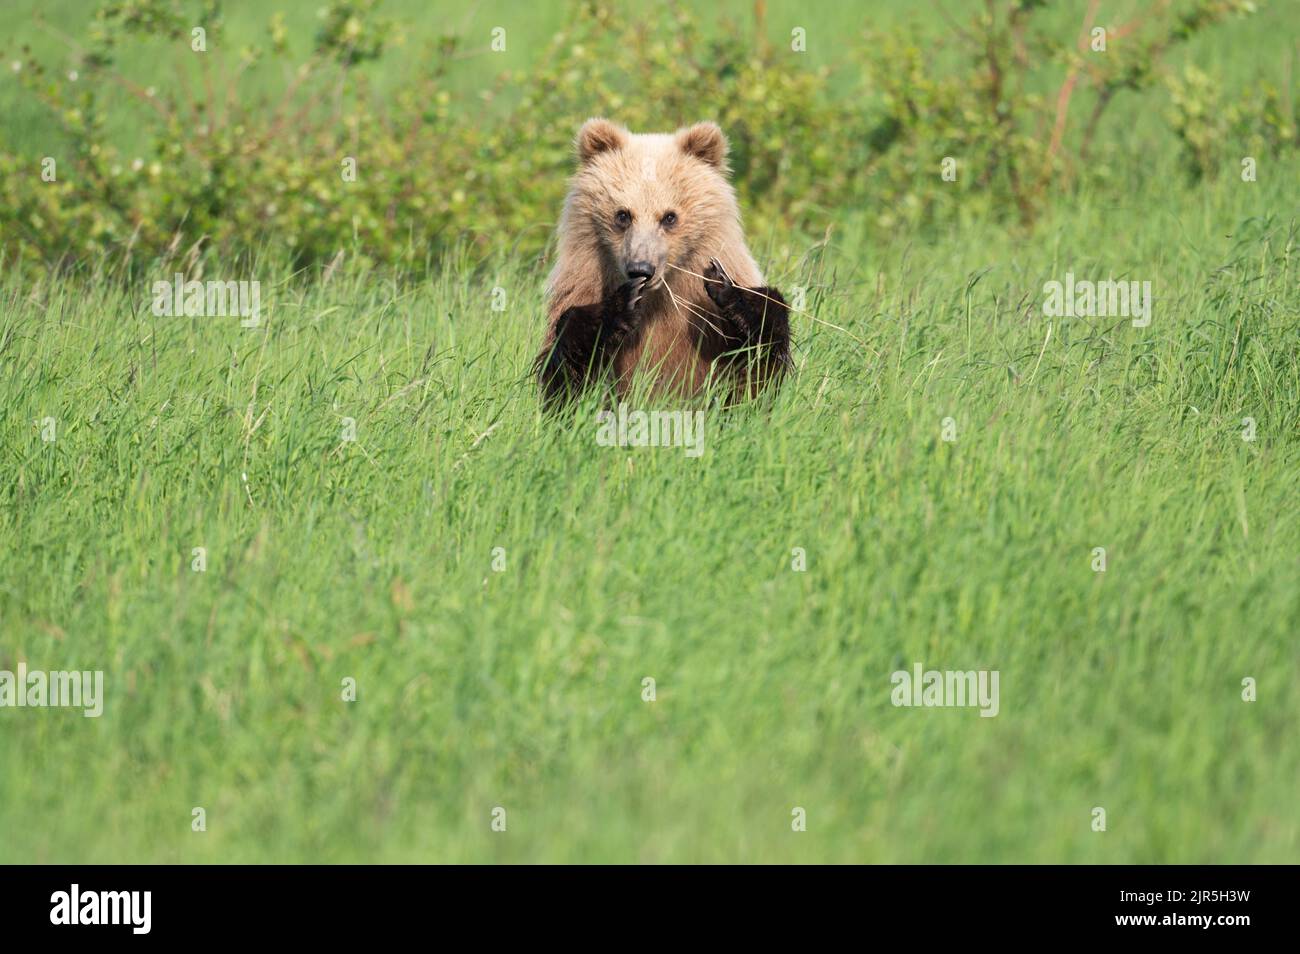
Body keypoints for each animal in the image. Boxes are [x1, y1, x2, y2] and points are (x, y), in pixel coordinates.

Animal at [535, 118, 791, 406]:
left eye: (669, 217)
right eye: (623, 215)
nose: (641, 269)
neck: (659, 300)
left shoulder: (707, 329)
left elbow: (755, 375)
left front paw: (729, 290)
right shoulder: (583, 287)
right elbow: (565, 382)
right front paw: (621, 304)